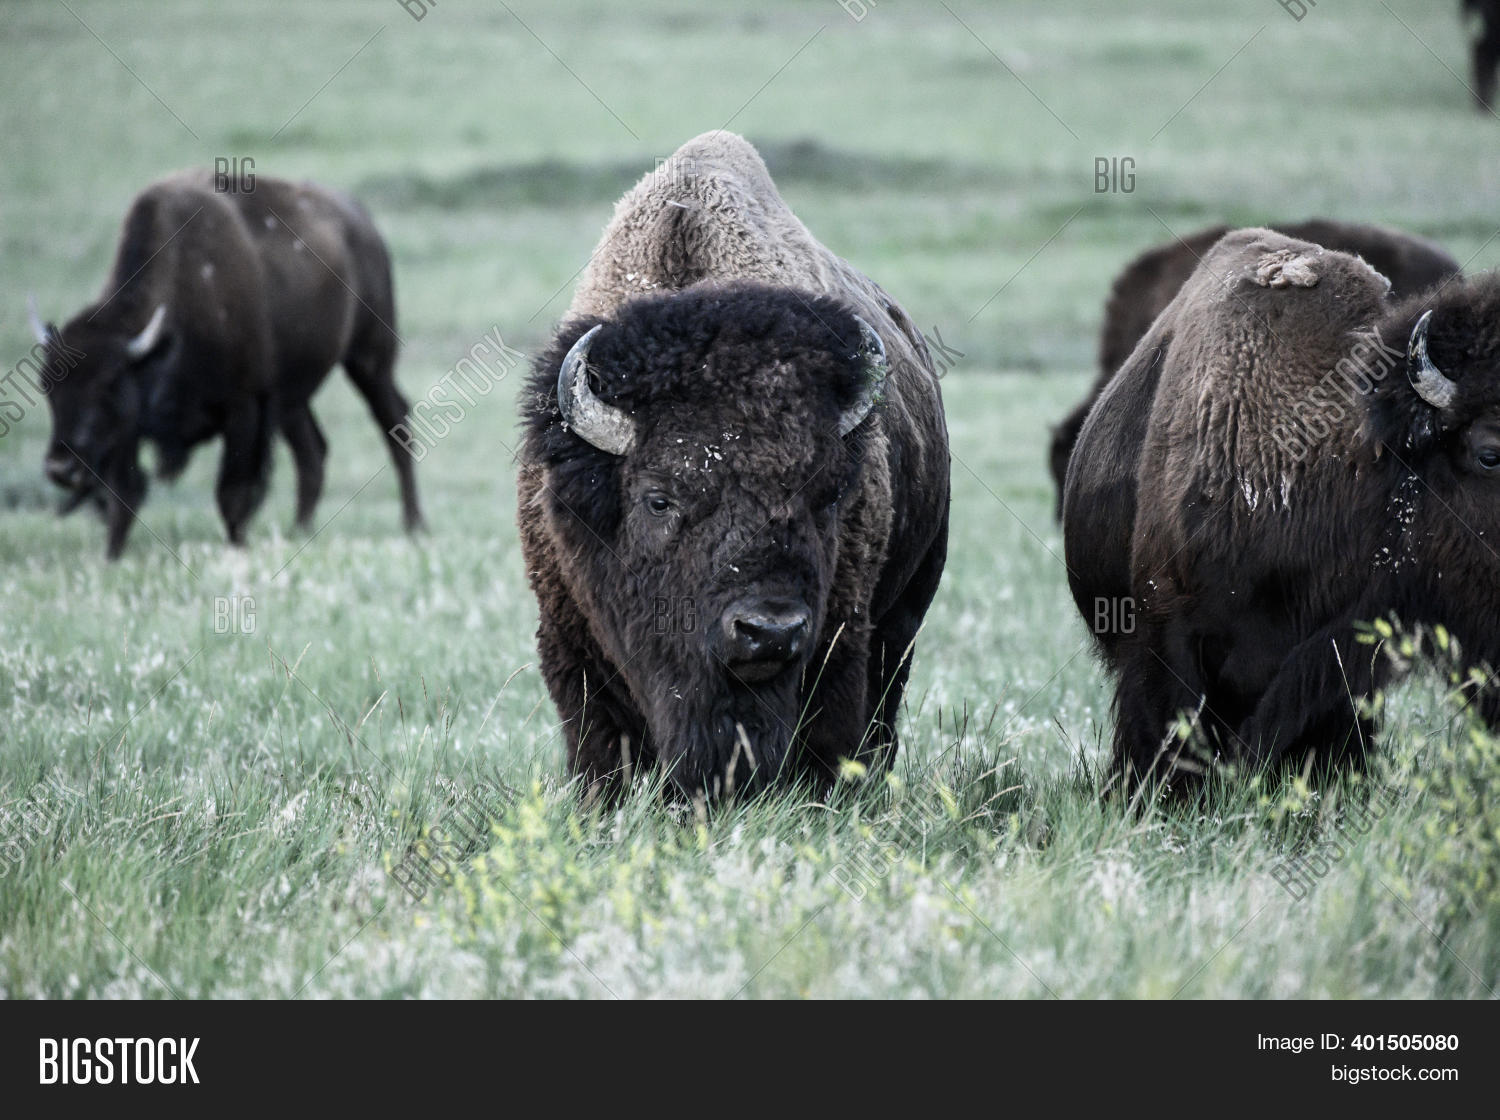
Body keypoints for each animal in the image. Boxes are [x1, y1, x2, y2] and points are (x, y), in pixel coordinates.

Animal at [29, 168, 424, 558]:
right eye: (47, 386)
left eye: (109, 383)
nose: (60, 466)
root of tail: (363, 224)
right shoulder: (125, 433)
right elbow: (122, 498)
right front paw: (111, 558)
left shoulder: (243, 409)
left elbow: (231, 494)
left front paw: (237, 548)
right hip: (291, 399)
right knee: (312, 451)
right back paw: (300, 531)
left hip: (370, 358)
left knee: (395, 425)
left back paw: (414, 526)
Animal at [518, 132, 950, 801]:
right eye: (659, 498)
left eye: (827, 497)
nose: (769, 630)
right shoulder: (569, 643)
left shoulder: (842, 641)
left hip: (906, 612)